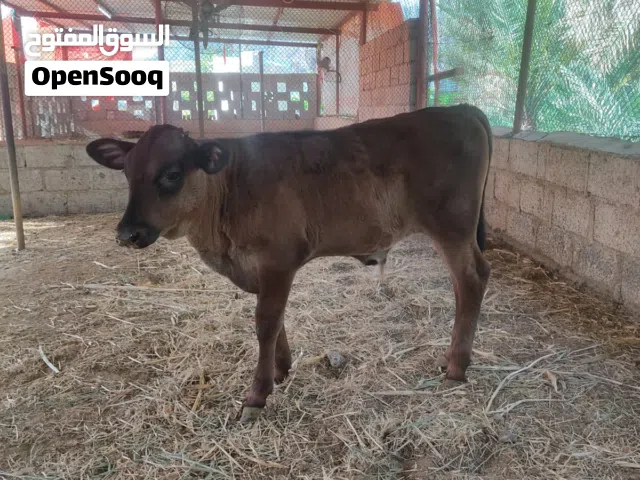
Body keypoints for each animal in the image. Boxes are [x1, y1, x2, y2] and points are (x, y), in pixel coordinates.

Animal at [85, 103, 492, 423]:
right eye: (127, 173)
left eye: (171, 174)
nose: (127, 233)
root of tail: (460, 109)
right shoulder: (260, 270)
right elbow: (276, 320)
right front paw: (281, 370)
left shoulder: (278, 261)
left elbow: (265, 322)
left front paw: (257, 394)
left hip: (451, 226)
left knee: (472, 279)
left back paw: (456, 367)